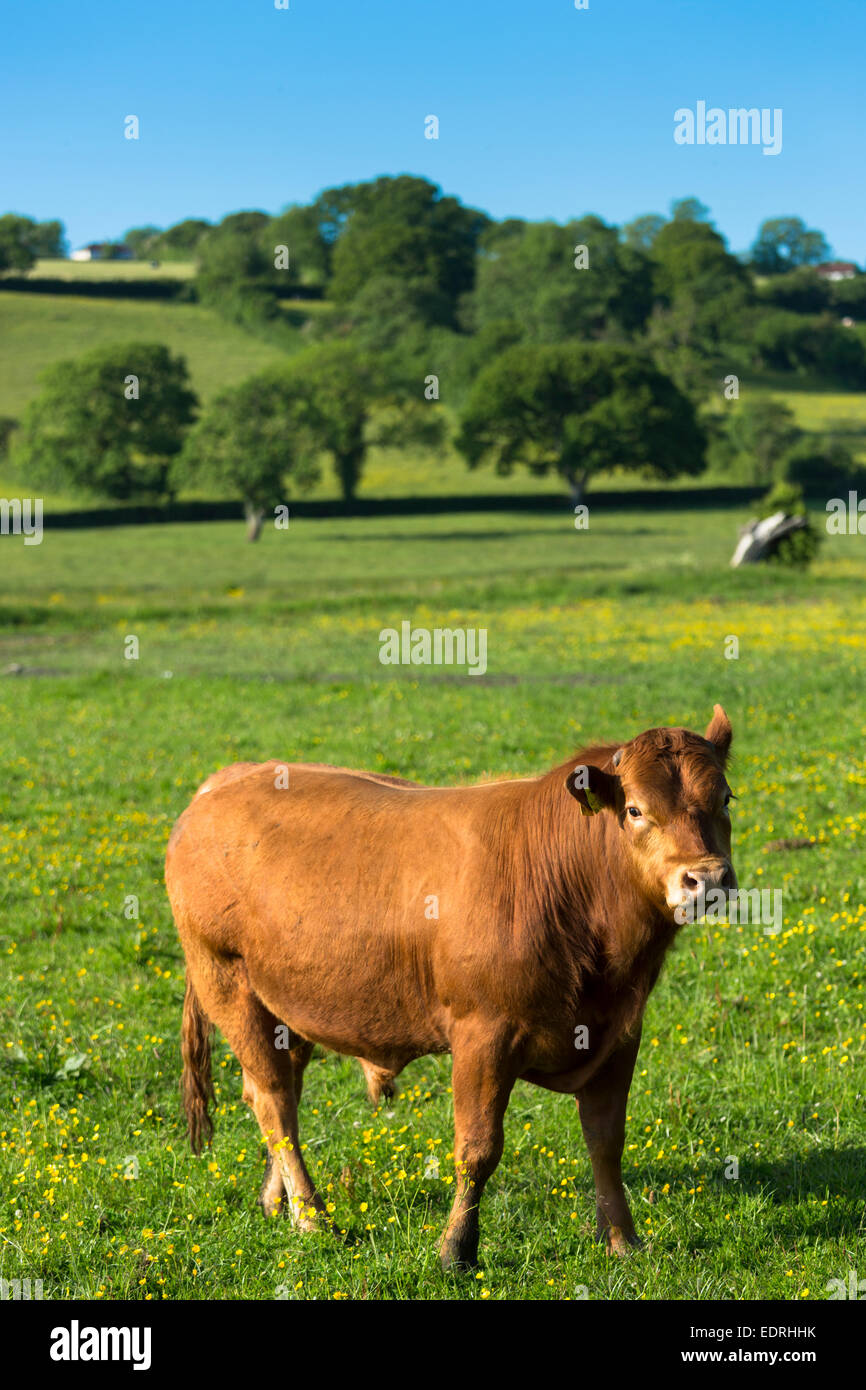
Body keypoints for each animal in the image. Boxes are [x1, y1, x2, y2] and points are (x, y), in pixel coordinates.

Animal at [165, 706, 736, 1270]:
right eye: (635, 810)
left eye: (725, 799)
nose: (706, 879)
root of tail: (227, 779)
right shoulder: (483, 1035)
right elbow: (478, 1148)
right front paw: (457, 1249)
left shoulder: (619, 1033)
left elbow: (606, 1140)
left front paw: (621, 1238)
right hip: (227, 982)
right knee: (274, 1100)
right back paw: (311, 1216)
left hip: (288, 1002)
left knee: (280, 1088)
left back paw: (275, 1200)